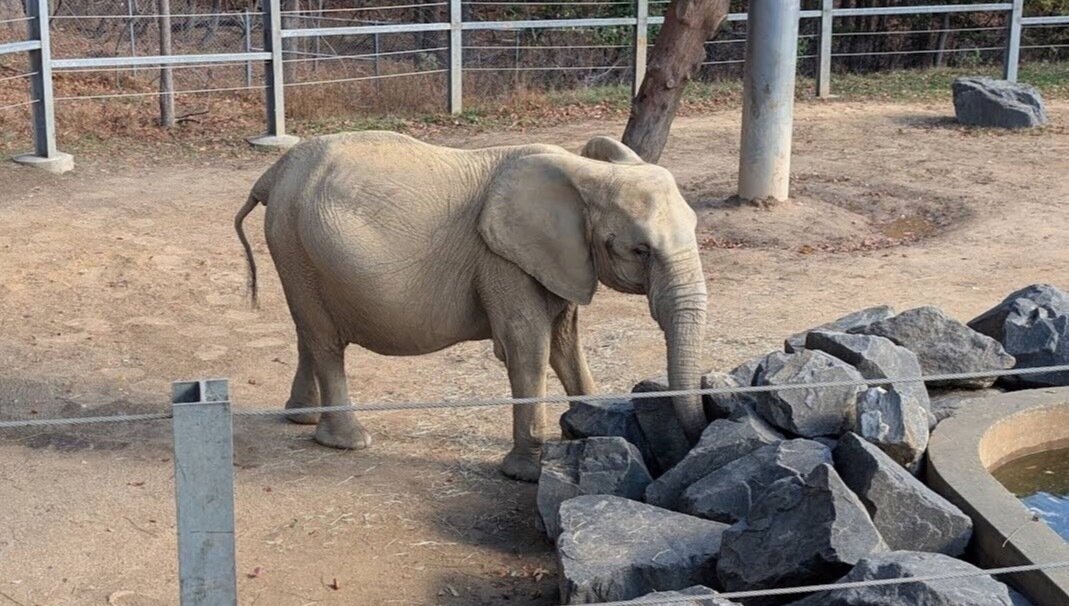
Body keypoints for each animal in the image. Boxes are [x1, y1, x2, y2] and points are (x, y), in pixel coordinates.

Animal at [234, 131, 708, 482]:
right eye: (639, 250)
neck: (586, 175)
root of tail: (274, 172)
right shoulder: (501, 258)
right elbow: (527, 347)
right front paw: (525, 474)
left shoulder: (560, 259)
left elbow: (565, 344)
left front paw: (589, 429)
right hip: (293, 240)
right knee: (325, 339)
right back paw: (349, 441)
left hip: (296, 248)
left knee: (308, 330)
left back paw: (302, 419)